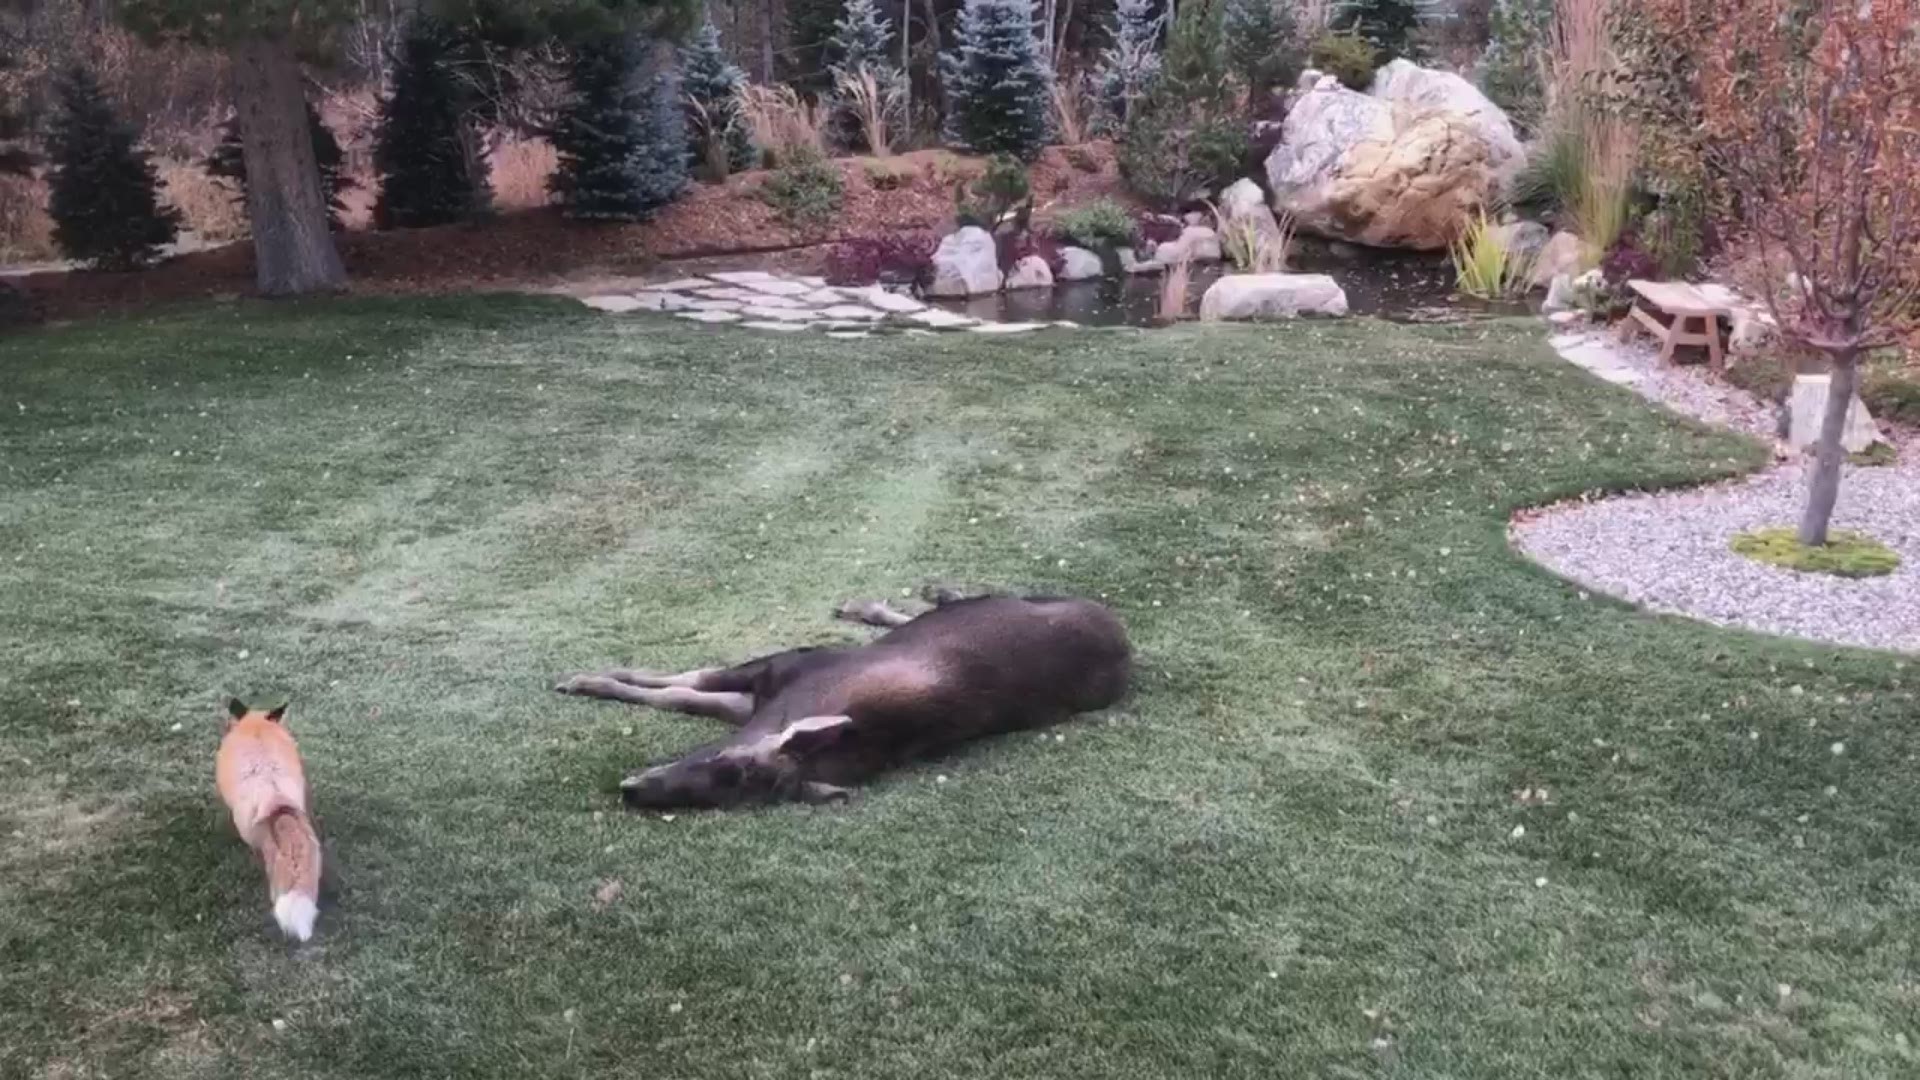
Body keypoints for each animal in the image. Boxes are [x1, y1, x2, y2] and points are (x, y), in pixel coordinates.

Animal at [553, 589, 1131, 810]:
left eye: (731, 794)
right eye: (725, 761)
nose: (633, 791)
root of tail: (1125, 642)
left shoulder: (775, 678)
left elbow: (682, 691)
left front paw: (592, 679)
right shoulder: (782, 666)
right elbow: (686, 684)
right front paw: (592, 677)